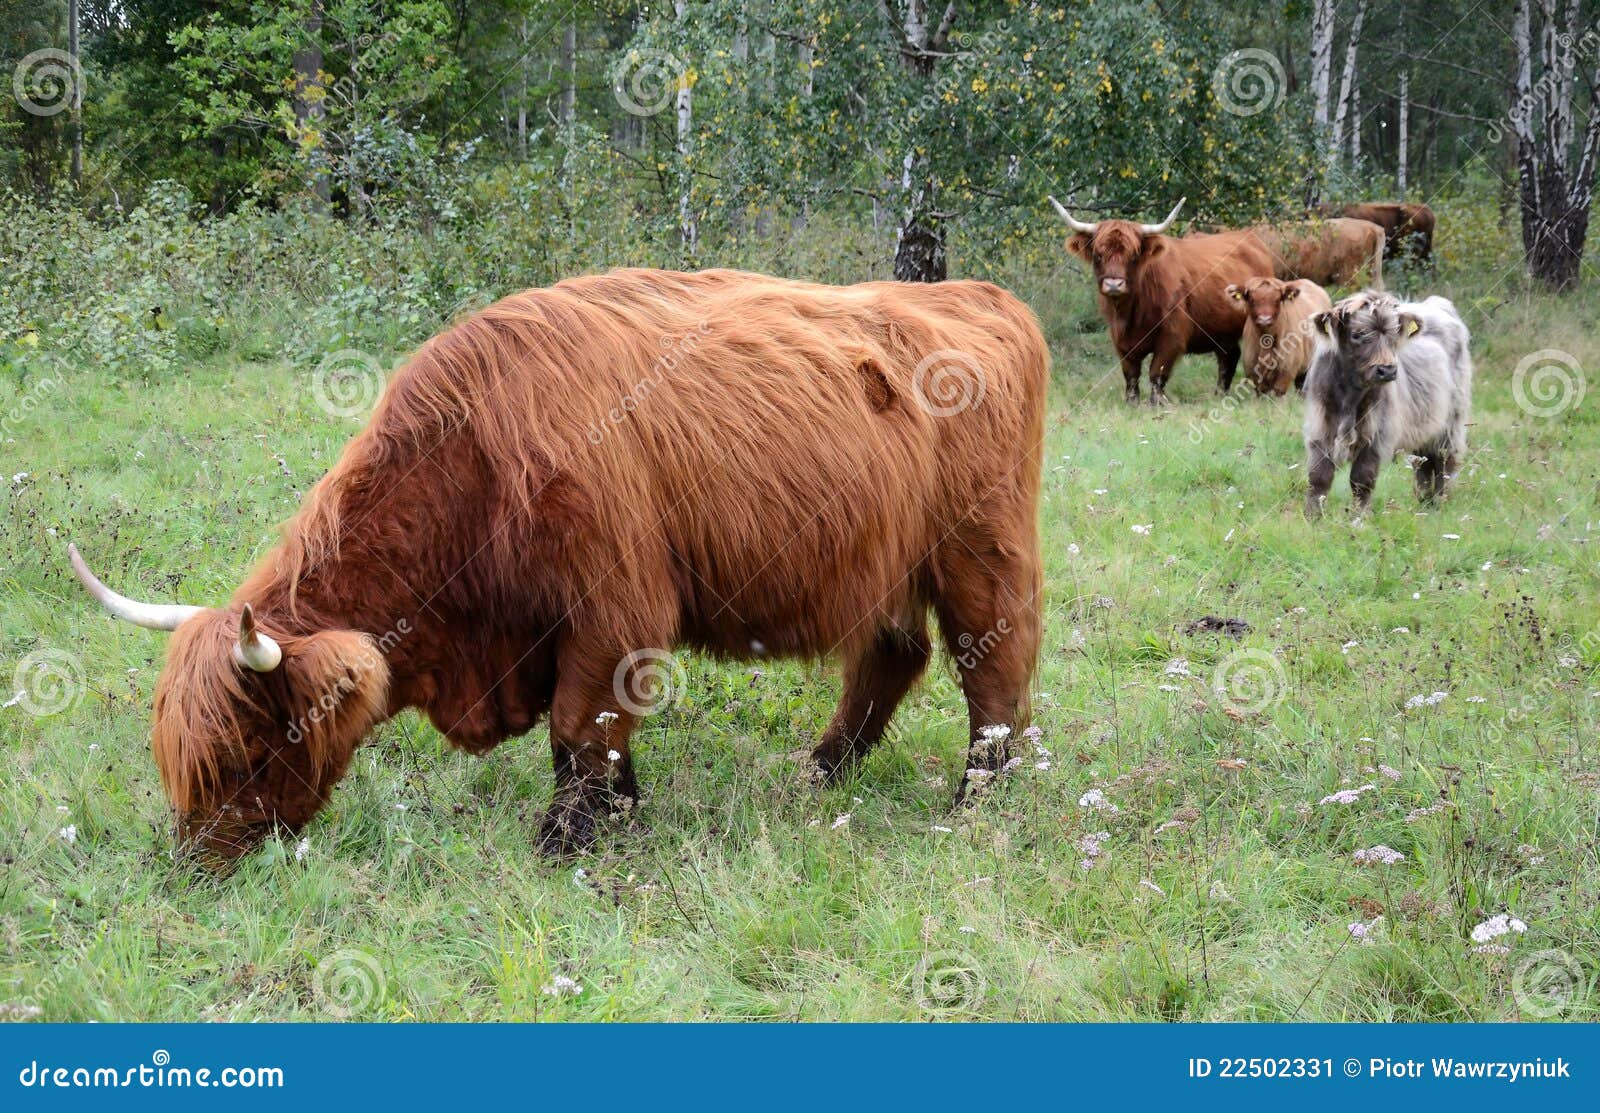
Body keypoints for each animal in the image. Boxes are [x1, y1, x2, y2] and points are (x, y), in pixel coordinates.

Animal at [68, 268, 1048, 861]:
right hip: (886, 562)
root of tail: (981, 293)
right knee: (891, 657)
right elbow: (599, 740)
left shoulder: (615, 607)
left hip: (981, 548)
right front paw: (619, 815)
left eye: (248, 748)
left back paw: (974, 801)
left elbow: (581, 728)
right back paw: (820, 771)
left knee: (994, 665)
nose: (196, 859)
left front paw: (565, 839)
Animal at [1050, 196, 1271, 404]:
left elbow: (1157, 371)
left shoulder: (1172, 336)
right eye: (1098, 254)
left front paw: (1155, 403)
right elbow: (1131, 374)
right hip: (1222, 330)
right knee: (1228, 357)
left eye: (1134, 255)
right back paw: (1219, 394)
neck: (1130, 312)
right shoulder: (1119, 338)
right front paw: (1131, 402)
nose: (1113, 284)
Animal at [1303, 291, 1472, 519]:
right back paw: (1425, 502)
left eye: (1393, 334)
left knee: (1444, 461)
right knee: (1424, 463)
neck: (1350, 396)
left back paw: (1440, 503)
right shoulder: (1320, 428)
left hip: (1452, 421)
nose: (1388, 370)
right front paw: (1313, 517)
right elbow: (1319, 476)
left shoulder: (1376, 433)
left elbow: (1361, 479)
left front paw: (1359, 518)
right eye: (1357, 334)